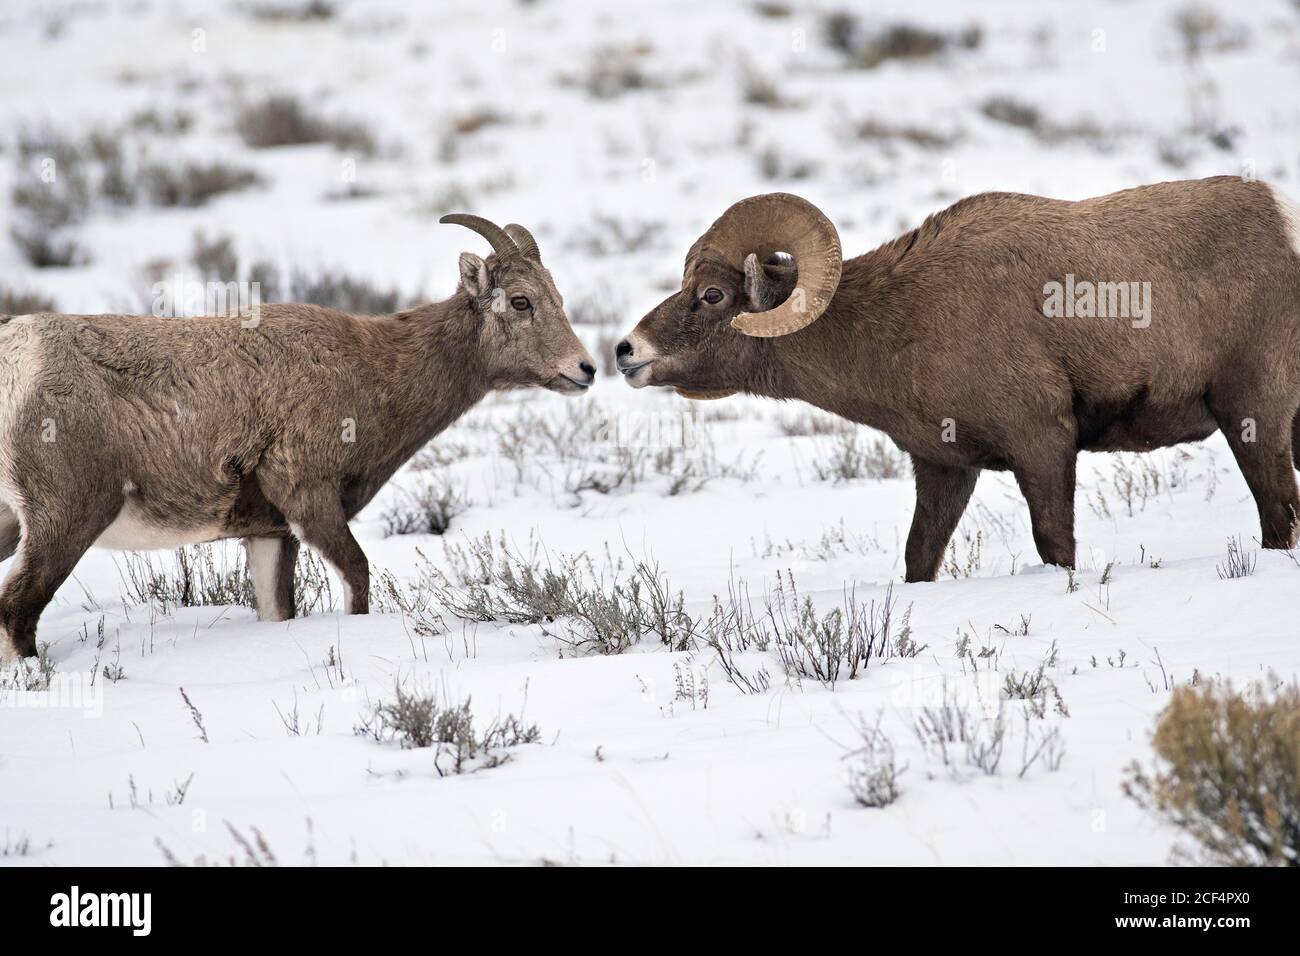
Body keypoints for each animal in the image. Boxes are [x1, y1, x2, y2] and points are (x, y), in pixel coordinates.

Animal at [0, 215, 596, 660]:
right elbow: (357, 577)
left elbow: (277, 609)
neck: (374, 370)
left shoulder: (270, 534)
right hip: (67, 519)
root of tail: (16, 359)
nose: (586, 369)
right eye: (520, 301)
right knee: (17, 609)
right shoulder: (309, 499)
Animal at [616, 179, 1300, 581]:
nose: (626, 353)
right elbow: (921, 555)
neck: (902, 324)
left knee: (1278, 513)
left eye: (711, 295)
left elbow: (1055, 544)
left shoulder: (1042, 446)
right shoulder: (945, 468)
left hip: (1253, 418)